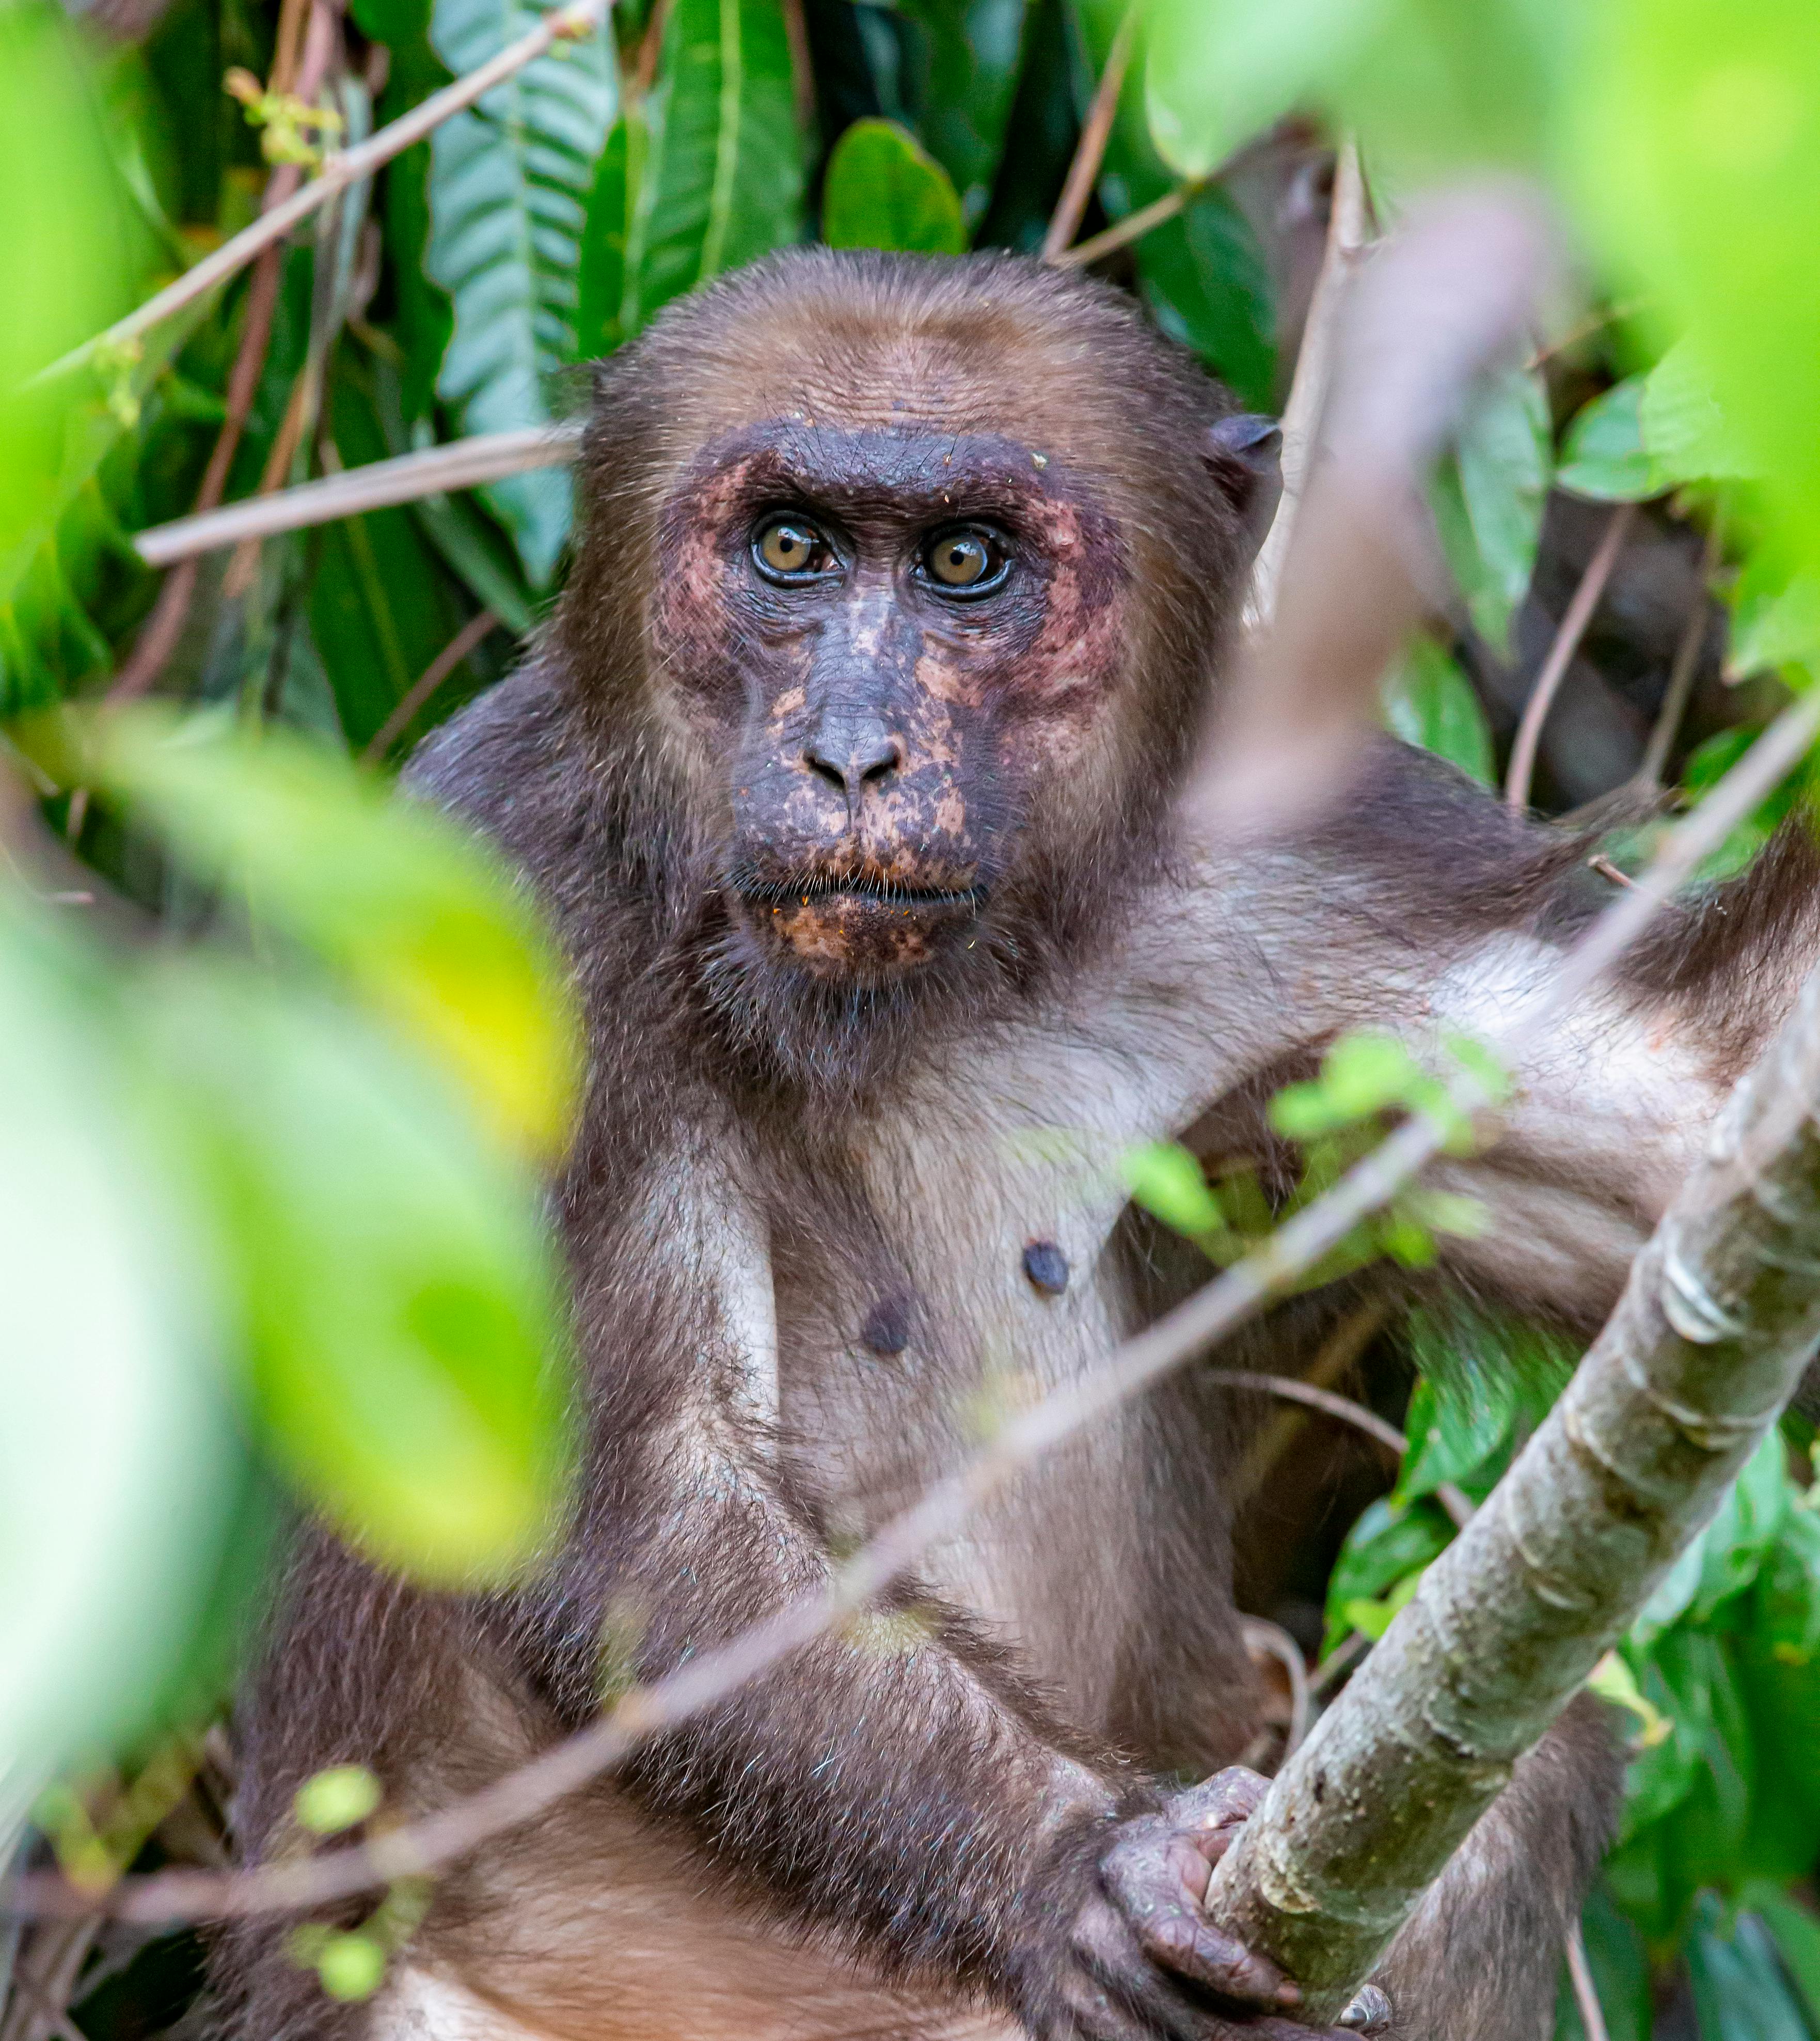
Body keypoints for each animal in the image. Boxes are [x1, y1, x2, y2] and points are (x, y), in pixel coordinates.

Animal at [215, 248, 1820, 2041]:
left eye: (965, 564)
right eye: (789, 550)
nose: (853, 750)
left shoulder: (1353, 871)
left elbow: (1681, 1112)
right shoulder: (501, 887)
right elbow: (623, 1480)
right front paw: (1077, 1876)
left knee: (1528, 1781)